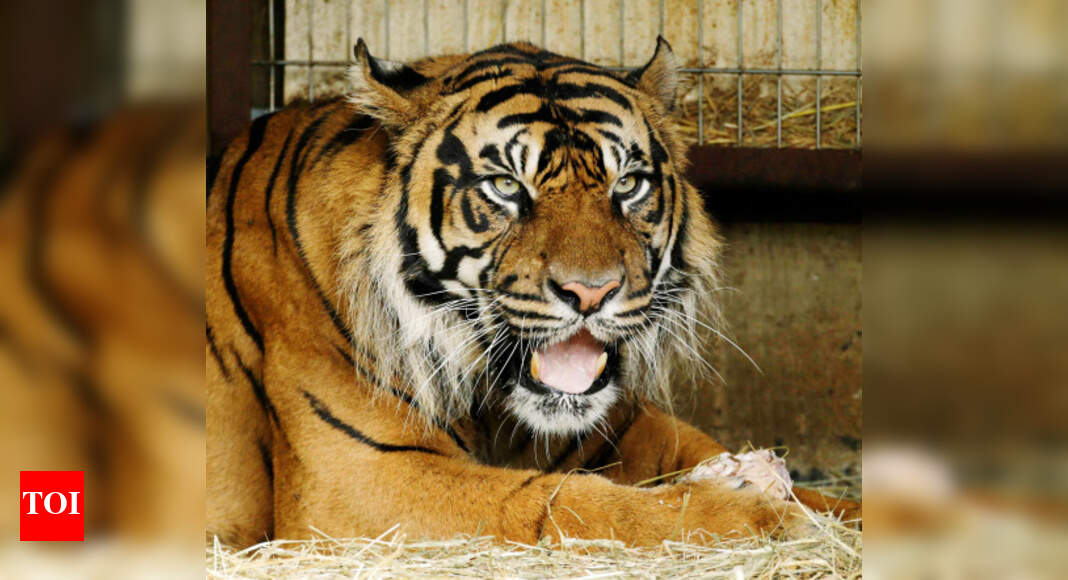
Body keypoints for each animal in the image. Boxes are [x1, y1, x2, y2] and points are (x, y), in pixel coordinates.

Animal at [206, 38, 859, 548]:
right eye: (504, 187)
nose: (592, 293)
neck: (493, 406)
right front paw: (757, 515)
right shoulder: (368, 477)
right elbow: (576, 506)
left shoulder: (619, 430)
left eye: (628, 184)